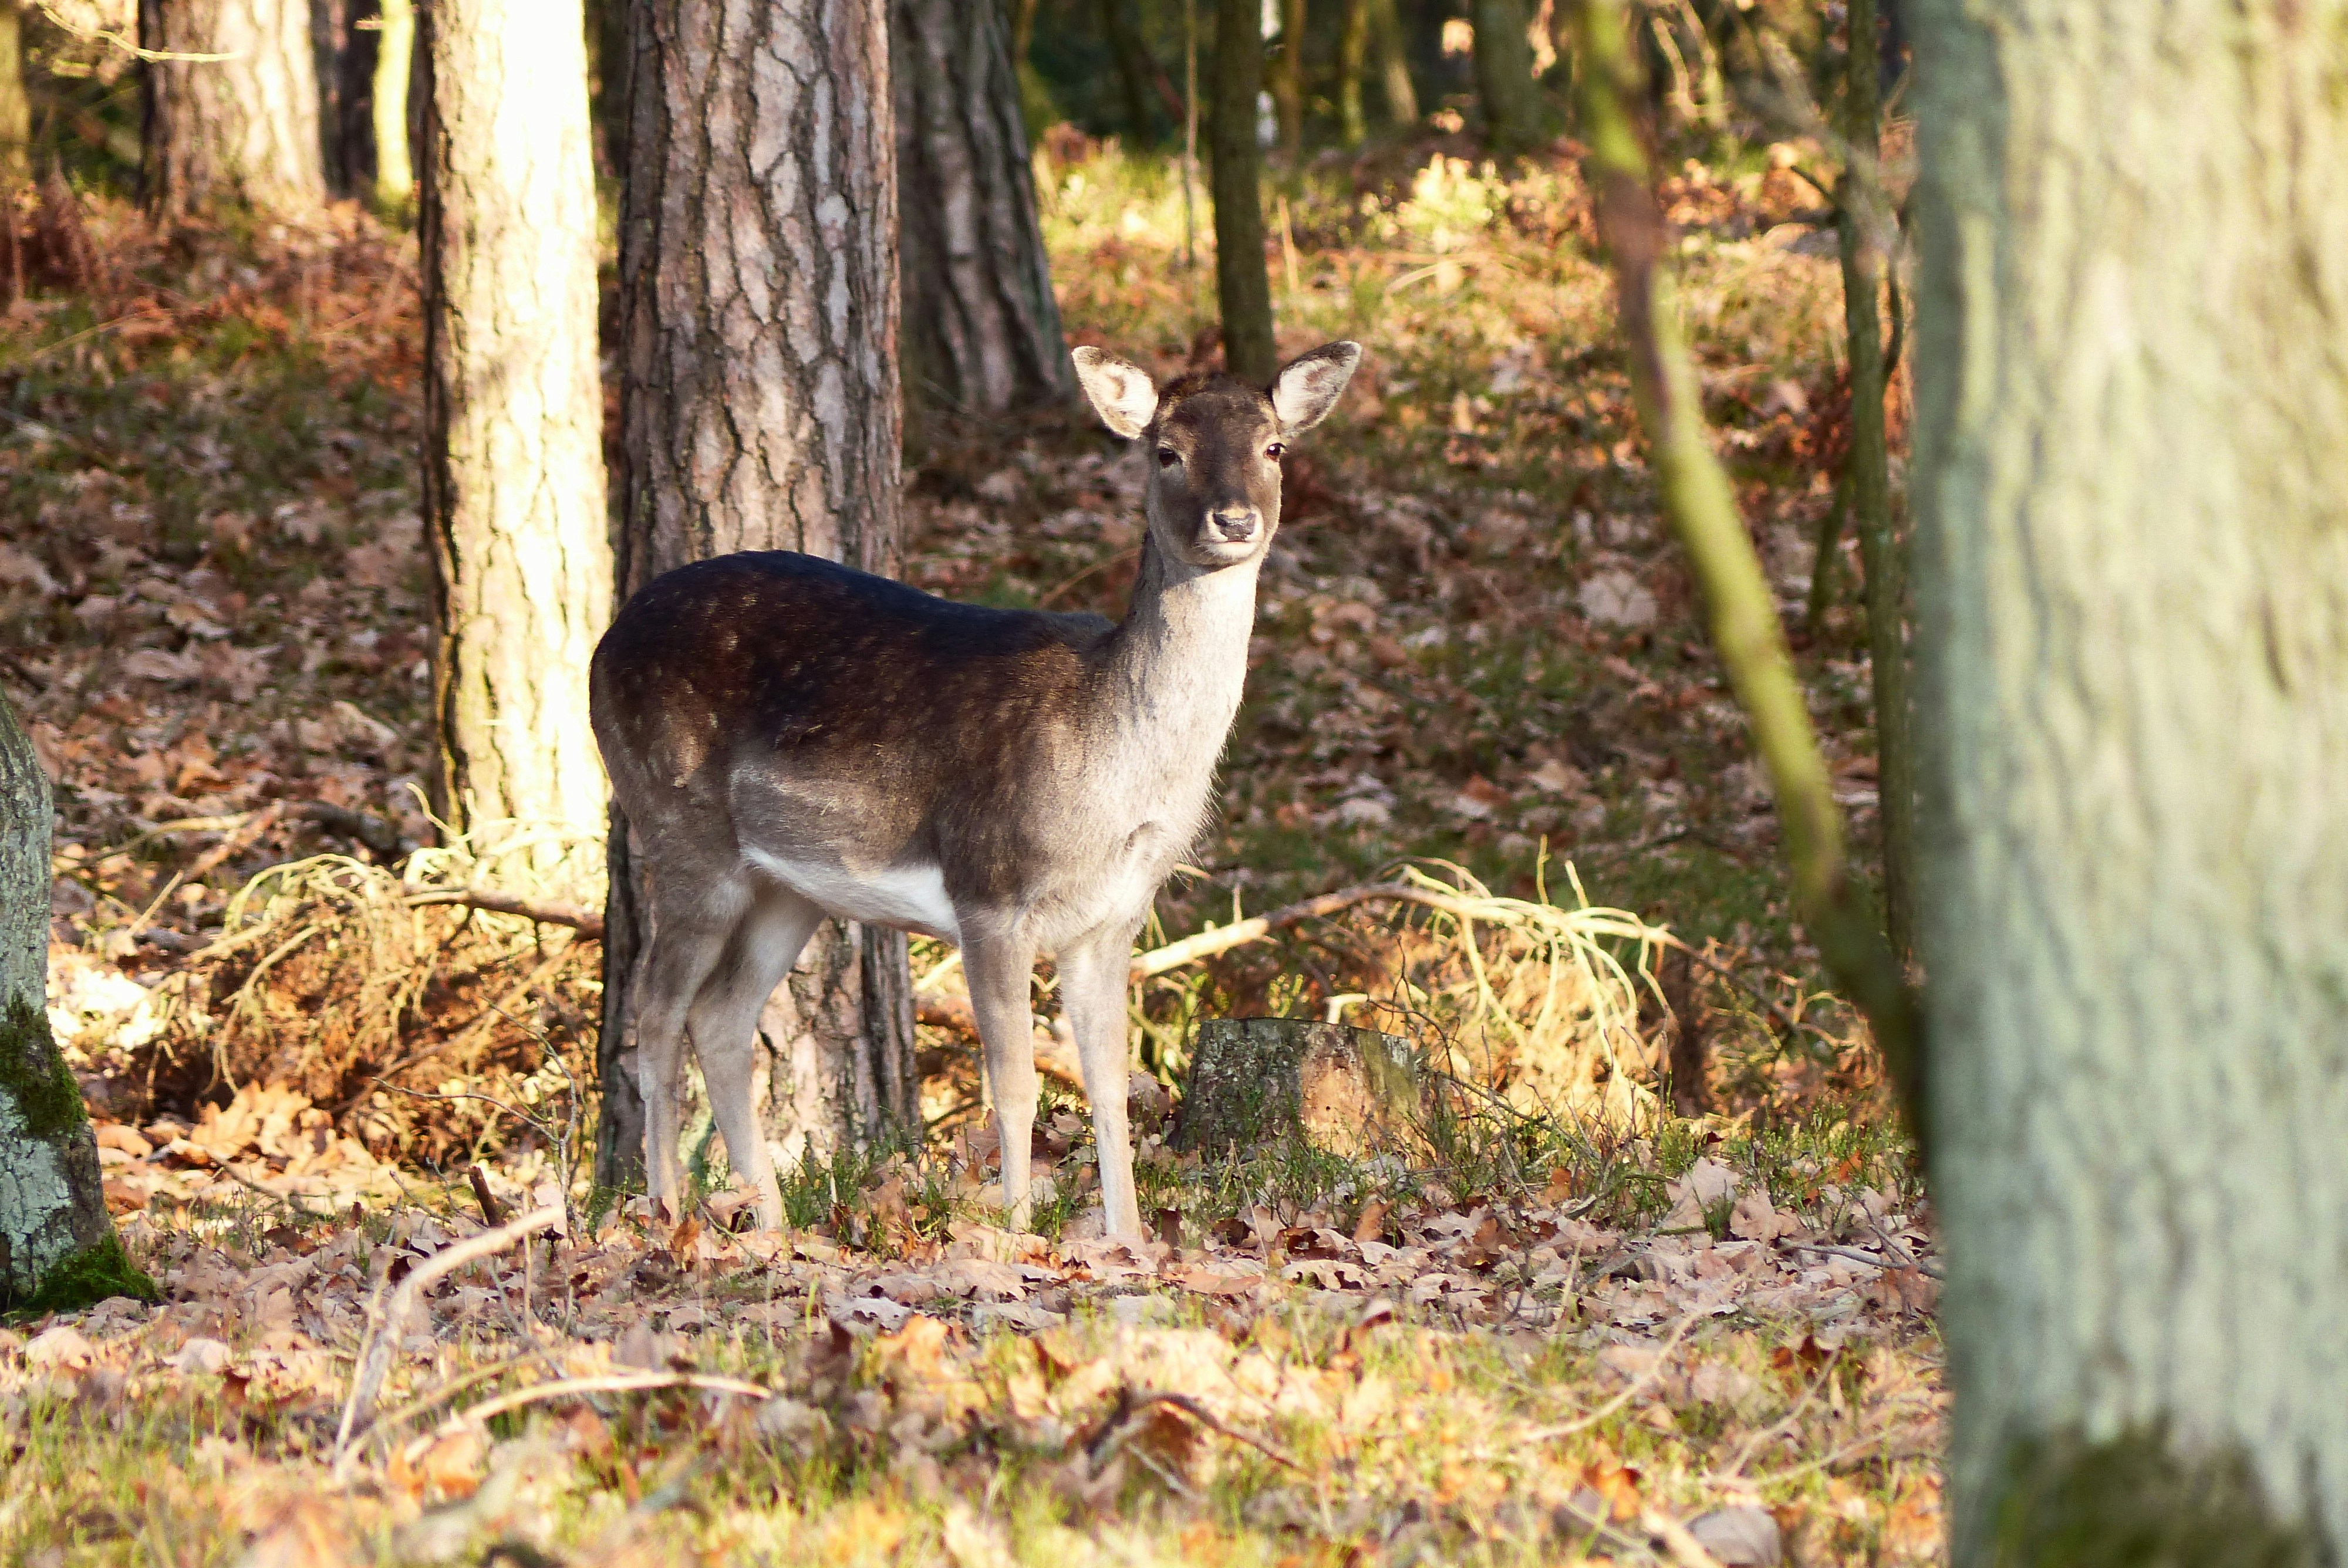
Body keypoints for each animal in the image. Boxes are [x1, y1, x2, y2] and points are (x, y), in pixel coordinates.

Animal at [589, 340, 1362, 1239]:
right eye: (1166, 452)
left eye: (1274, 447)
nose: (1234, 519)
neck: (1120, 785)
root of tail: (602, 645)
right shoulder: (990, 890)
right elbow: (1016, 1082)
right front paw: (1018, 1232)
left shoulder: (1115, 917)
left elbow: (1109, 1082)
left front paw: (1129, 1239)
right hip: (679, 825)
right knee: (653, 1016)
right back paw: (663, 1209)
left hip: (790, 885)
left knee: (720, 1015)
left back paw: (771, 1222)